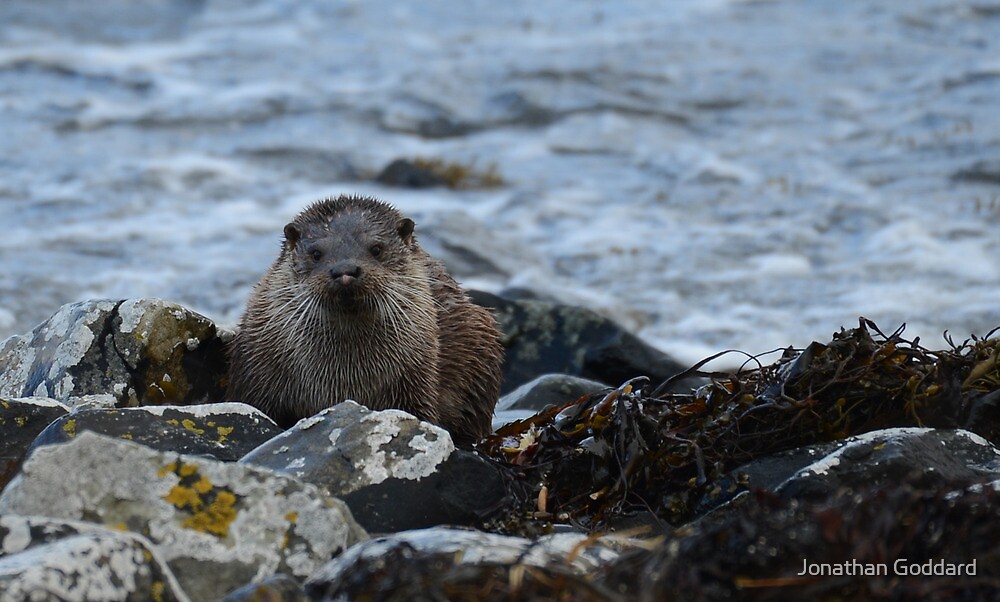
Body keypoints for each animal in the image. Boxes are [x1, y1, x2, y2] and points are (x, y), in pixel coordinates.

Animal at [226, 195, 503, 447]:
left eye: (377, 249)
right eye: (316, 253)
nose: (345, 270)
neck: (345, 379)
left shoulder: (417, 379)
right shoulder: (259, 374)